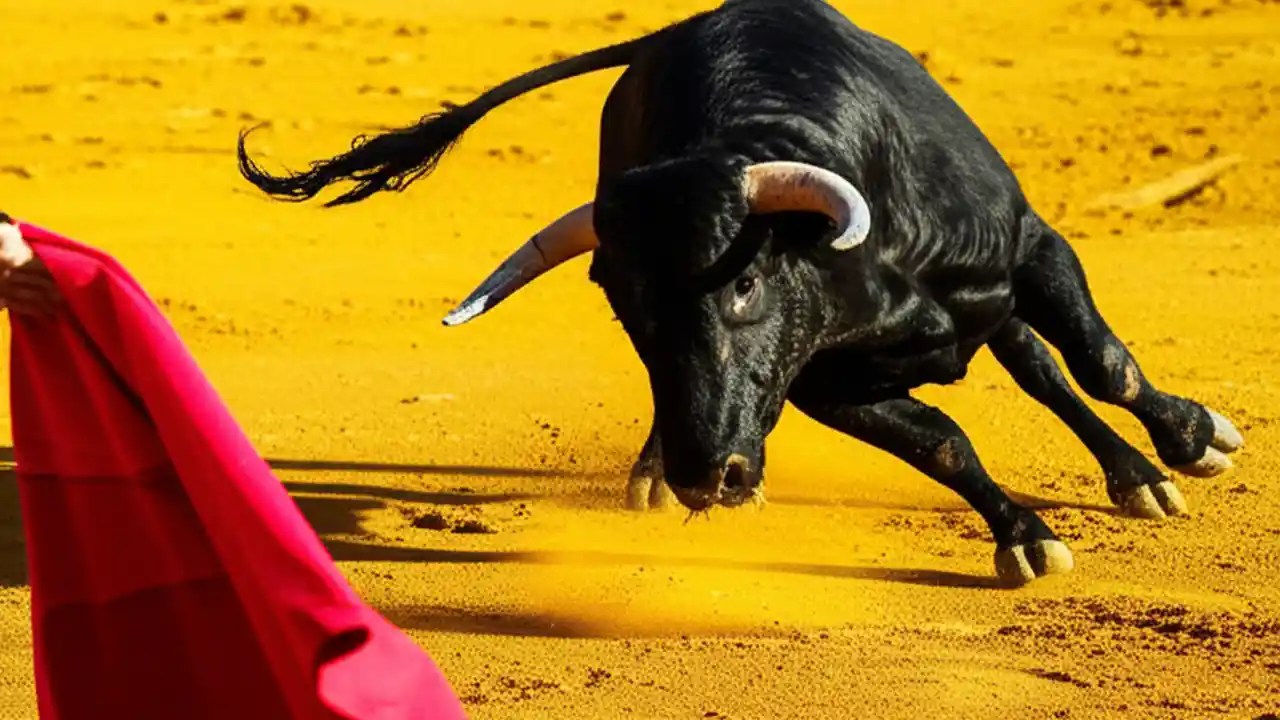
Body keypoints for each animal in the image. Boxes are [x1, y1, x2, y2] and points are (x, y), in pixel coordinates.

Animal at [236, 0, 1245, 587]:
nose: (704, 476)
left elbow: (1103, 364)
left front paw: (1194, 440)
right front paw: (1023, 537)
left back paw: (1144, 473)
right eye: (629, 311)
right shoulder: (828, 388)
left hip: (1003, 292)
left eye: (746, 280)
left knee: (1046, 366)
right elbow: (944, 445)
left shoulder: (1030, 247)